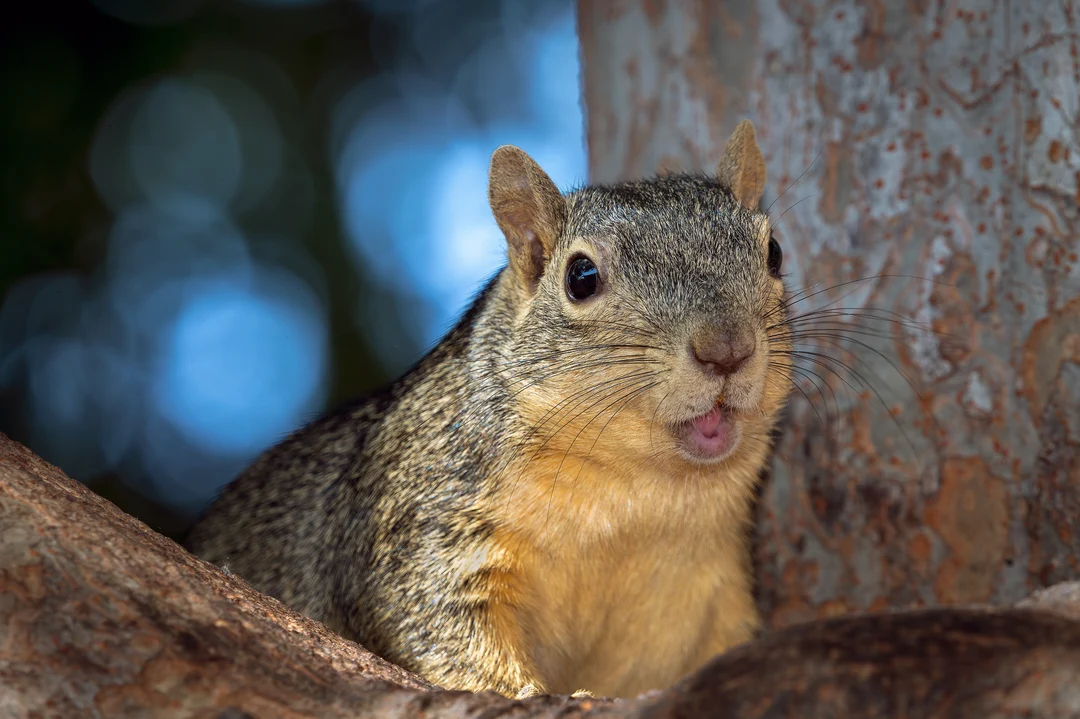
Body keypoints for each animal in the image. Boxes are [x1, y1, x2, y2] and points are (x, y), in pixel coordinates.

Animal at [185, 119, 793, 700]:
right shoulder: (420, 526)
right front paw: (526, 692)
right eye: (581, 277)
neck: (636, 490)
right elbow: (438, 624)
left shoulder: (705, 595)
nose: (727, 349)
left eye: (774, 253)